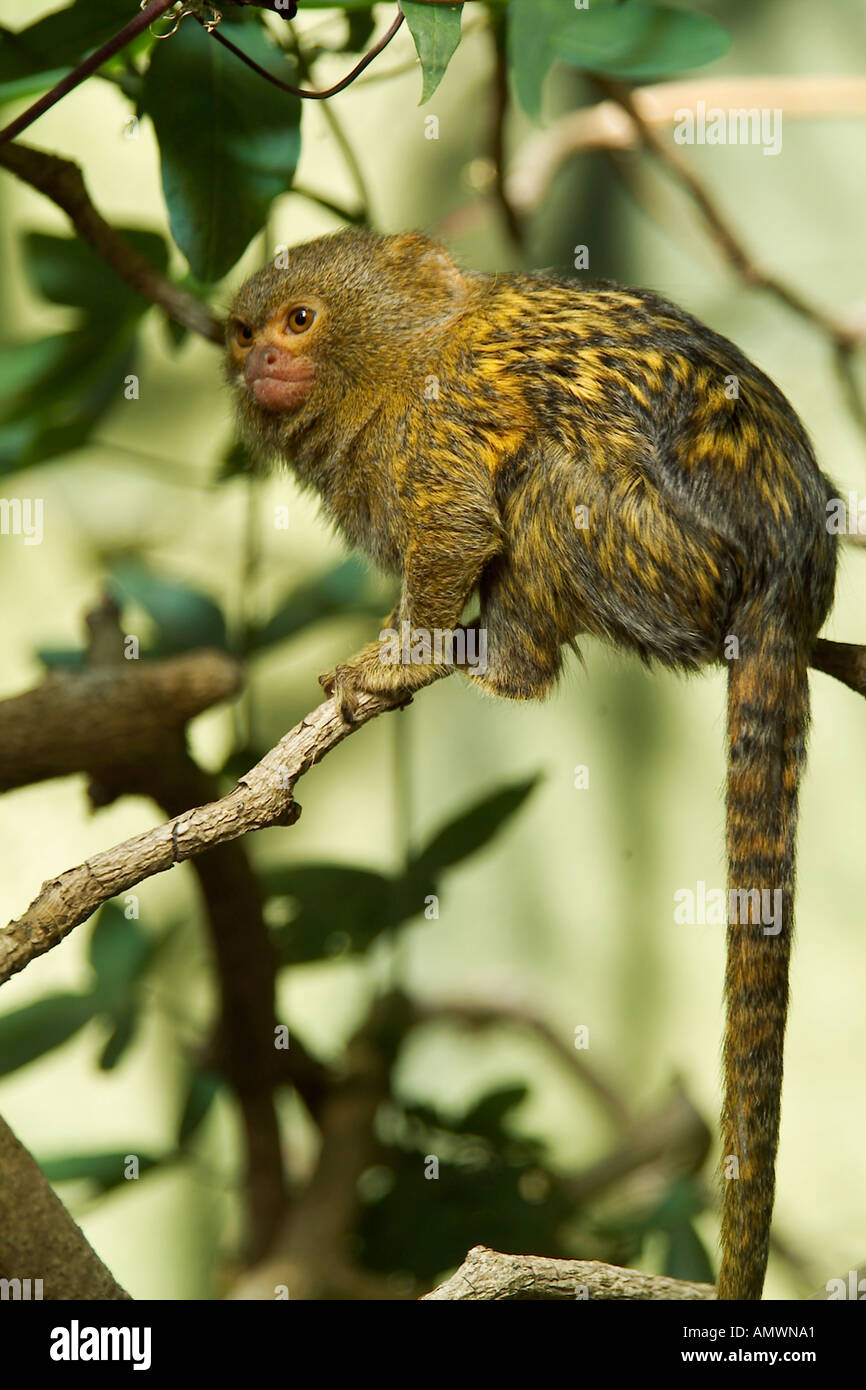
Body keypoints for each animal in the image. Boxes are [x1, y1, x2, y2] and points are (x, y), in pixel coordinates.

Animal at [225, 228, 838, 1300]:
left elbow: (456, 532)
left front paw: (401, 657)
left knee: (544, 481)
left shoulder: (440, 423)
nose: (262, 361)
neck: (403, 356)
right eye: (244, 331)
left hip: (657, 555)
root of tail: (785, 573)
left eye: (300, 321)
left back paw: (505, 664)